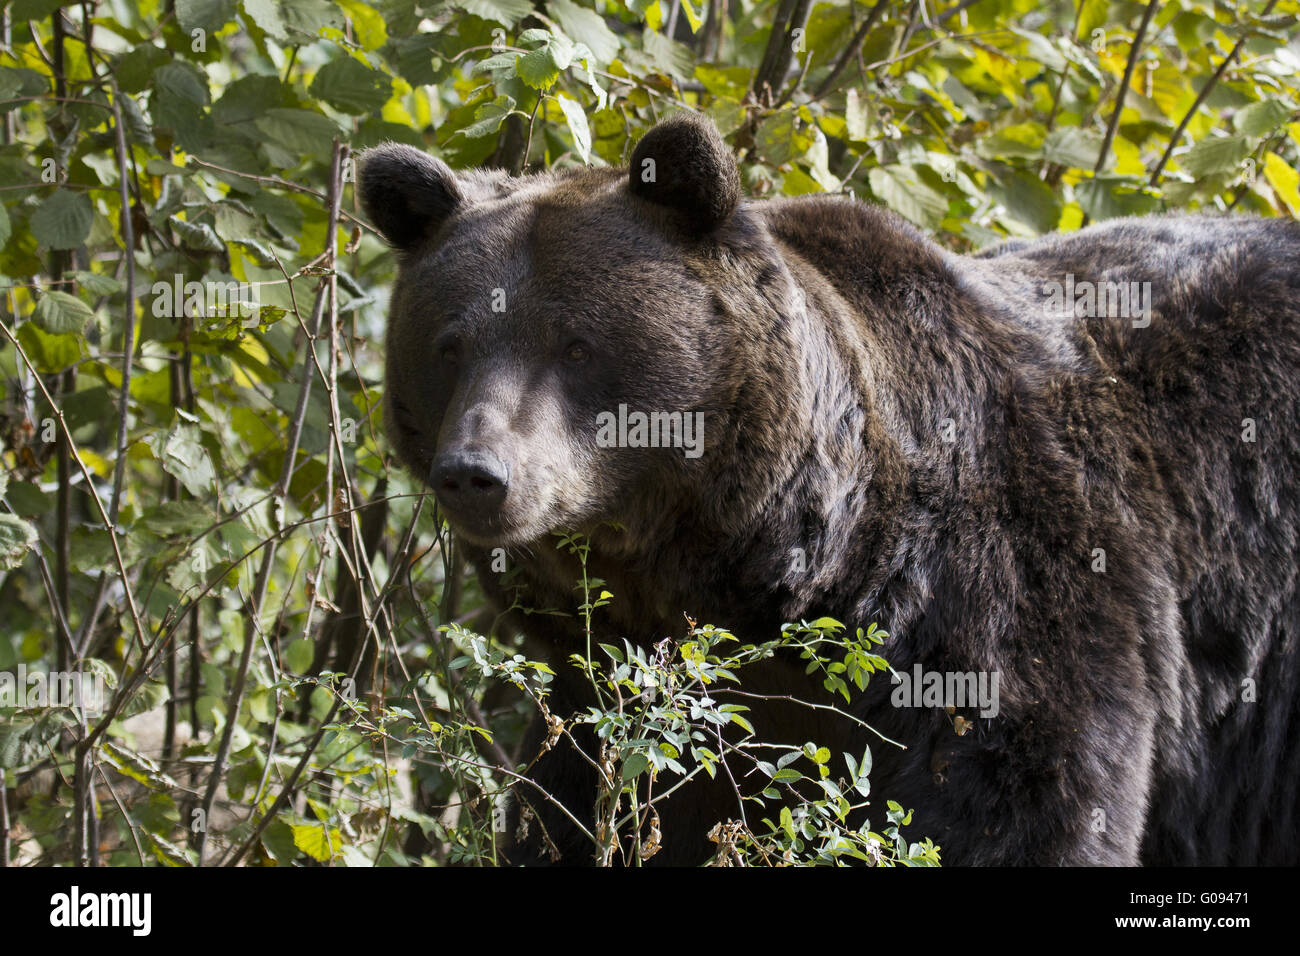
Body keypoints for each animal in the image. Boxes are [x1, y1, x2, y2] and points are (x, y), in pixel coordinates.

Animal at [359, 112, 1300, 866]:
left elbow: (1023, 808)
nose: (476, 472)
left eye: (575, 343)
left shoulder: (1006, 602)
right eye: (449, 344)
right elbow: (575, 810)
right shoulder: (629, 701)